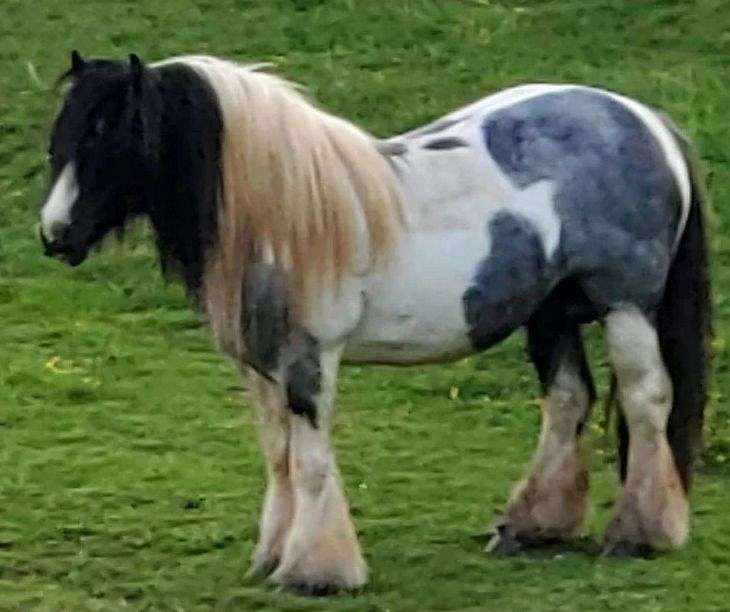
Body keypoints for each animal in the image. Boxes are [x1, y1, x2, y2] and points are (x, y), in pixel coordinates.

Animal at [40, 51, 711, 594]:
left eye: (107, 135)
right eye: (65, 135)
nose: (54, 235)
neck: (289, 217)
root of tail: (646, 121)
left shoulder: (310, 359)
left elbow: (310, 461)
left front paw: (316, 571)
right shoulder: (261, 367)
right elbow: (279, 457)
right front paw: (273, 555)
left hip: (626, 306)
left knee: (647, 400)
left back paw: (640, 534)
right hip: (548, 313)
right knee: (569, 400)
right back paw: (531, 527)